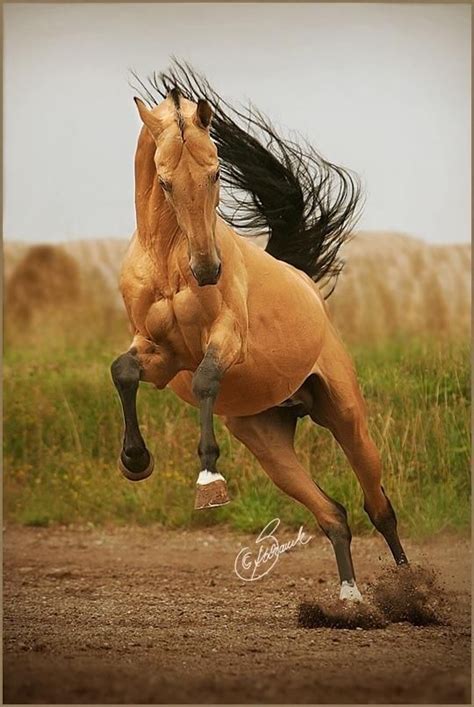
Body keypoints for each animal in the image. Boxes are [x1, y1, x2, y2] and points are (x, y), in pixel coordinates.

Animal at [111, 62, 408, 603]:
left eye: (214, 172)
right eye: (164, 181)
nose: (208, 269)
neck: (168, 259)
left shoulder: (226, 339)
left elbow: (207, 379)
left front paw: (209, 479)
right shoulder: (158, 354)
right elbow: (123, 371)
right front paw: (135, 461)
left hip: (347, 418)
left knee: (379, 508)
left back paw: (412, 591)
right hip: (267, 442)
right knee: (334, 514)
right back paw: (349, 599)